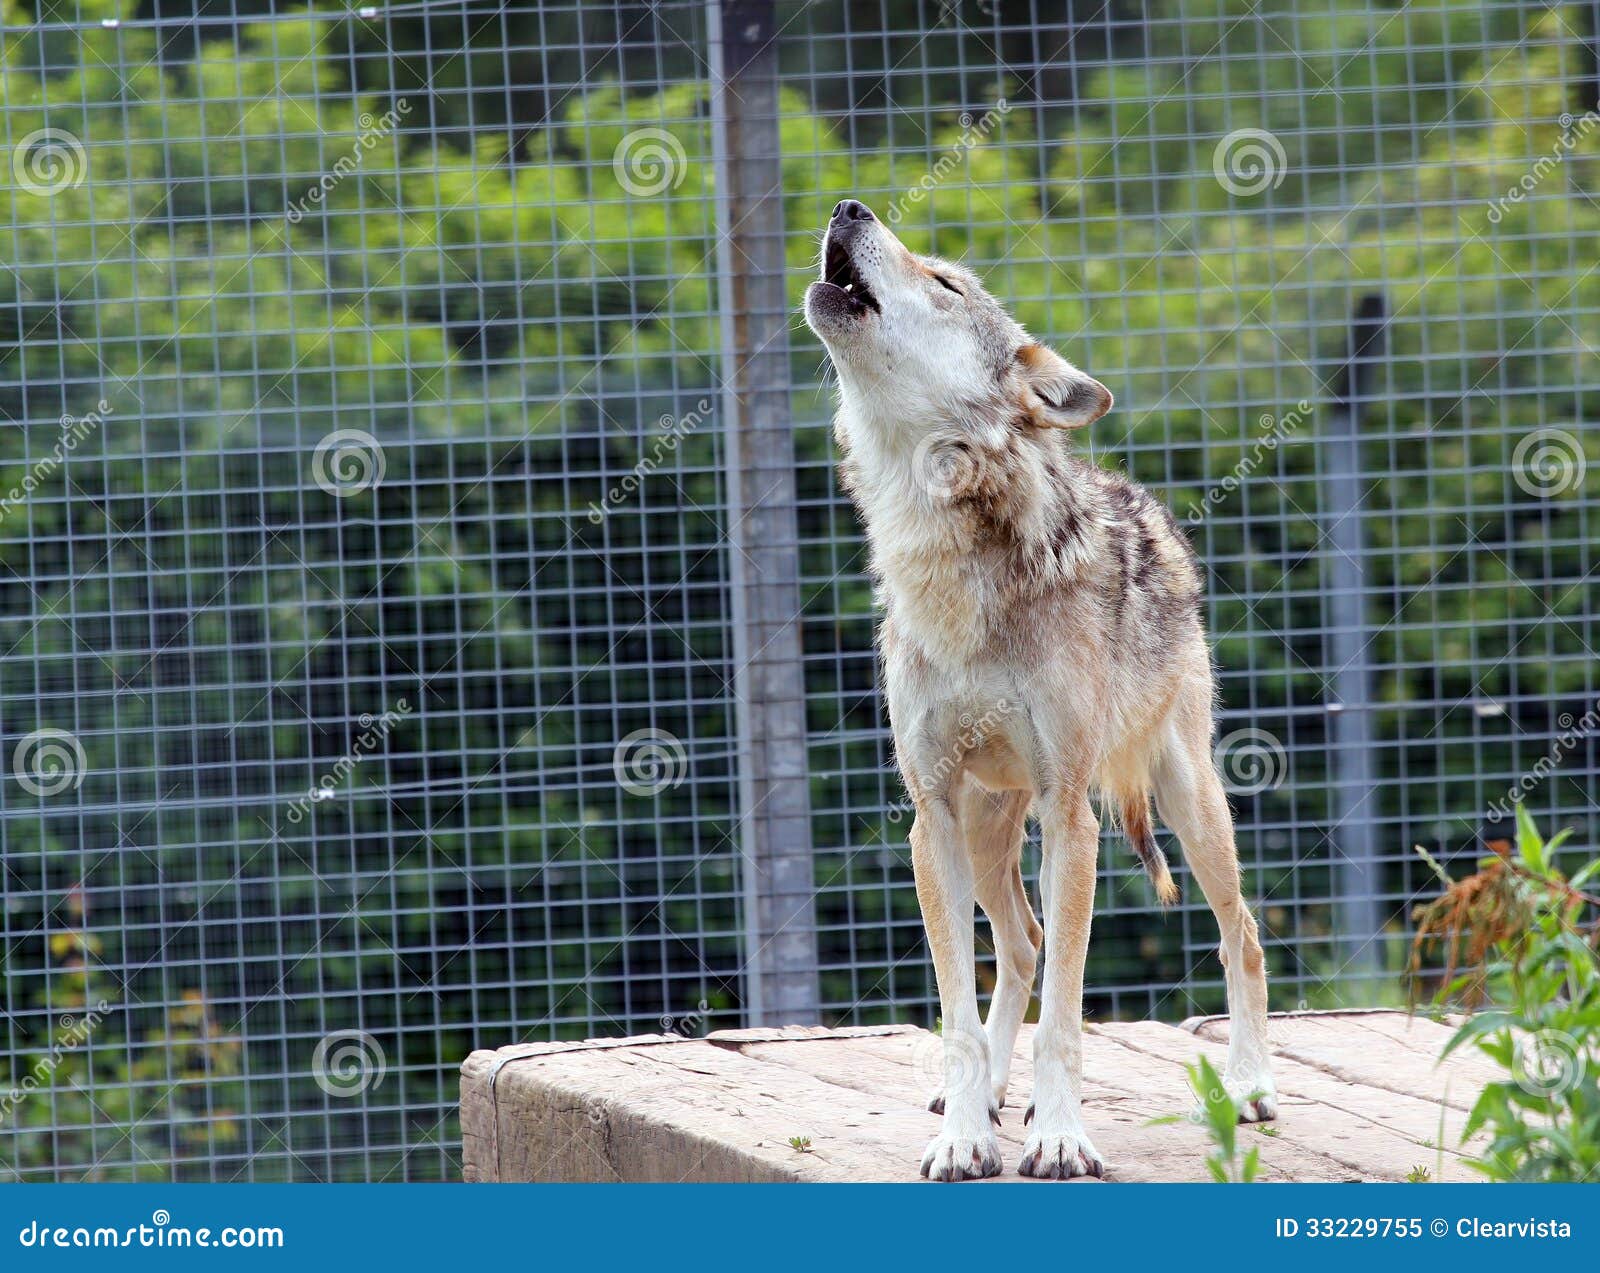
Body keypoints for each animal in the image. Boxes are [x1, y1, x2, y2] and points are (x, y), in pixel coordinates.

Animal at [803, 198, 1277, 1181]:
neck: (946, 559)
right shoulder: (931, 812)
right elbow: (955, 1007)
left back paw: (1250, 1085)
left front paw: (1058, 1134)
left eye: (945, 282)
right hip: (986, 835)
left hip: (1188, 801)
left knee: (1240, 929)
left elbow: (1065, 1010)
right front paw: (965, 1132)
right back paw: (985, 1090)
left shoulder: (1070, 814)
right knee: (1017, 945)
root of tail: (1145, 503)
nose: (849, 206)